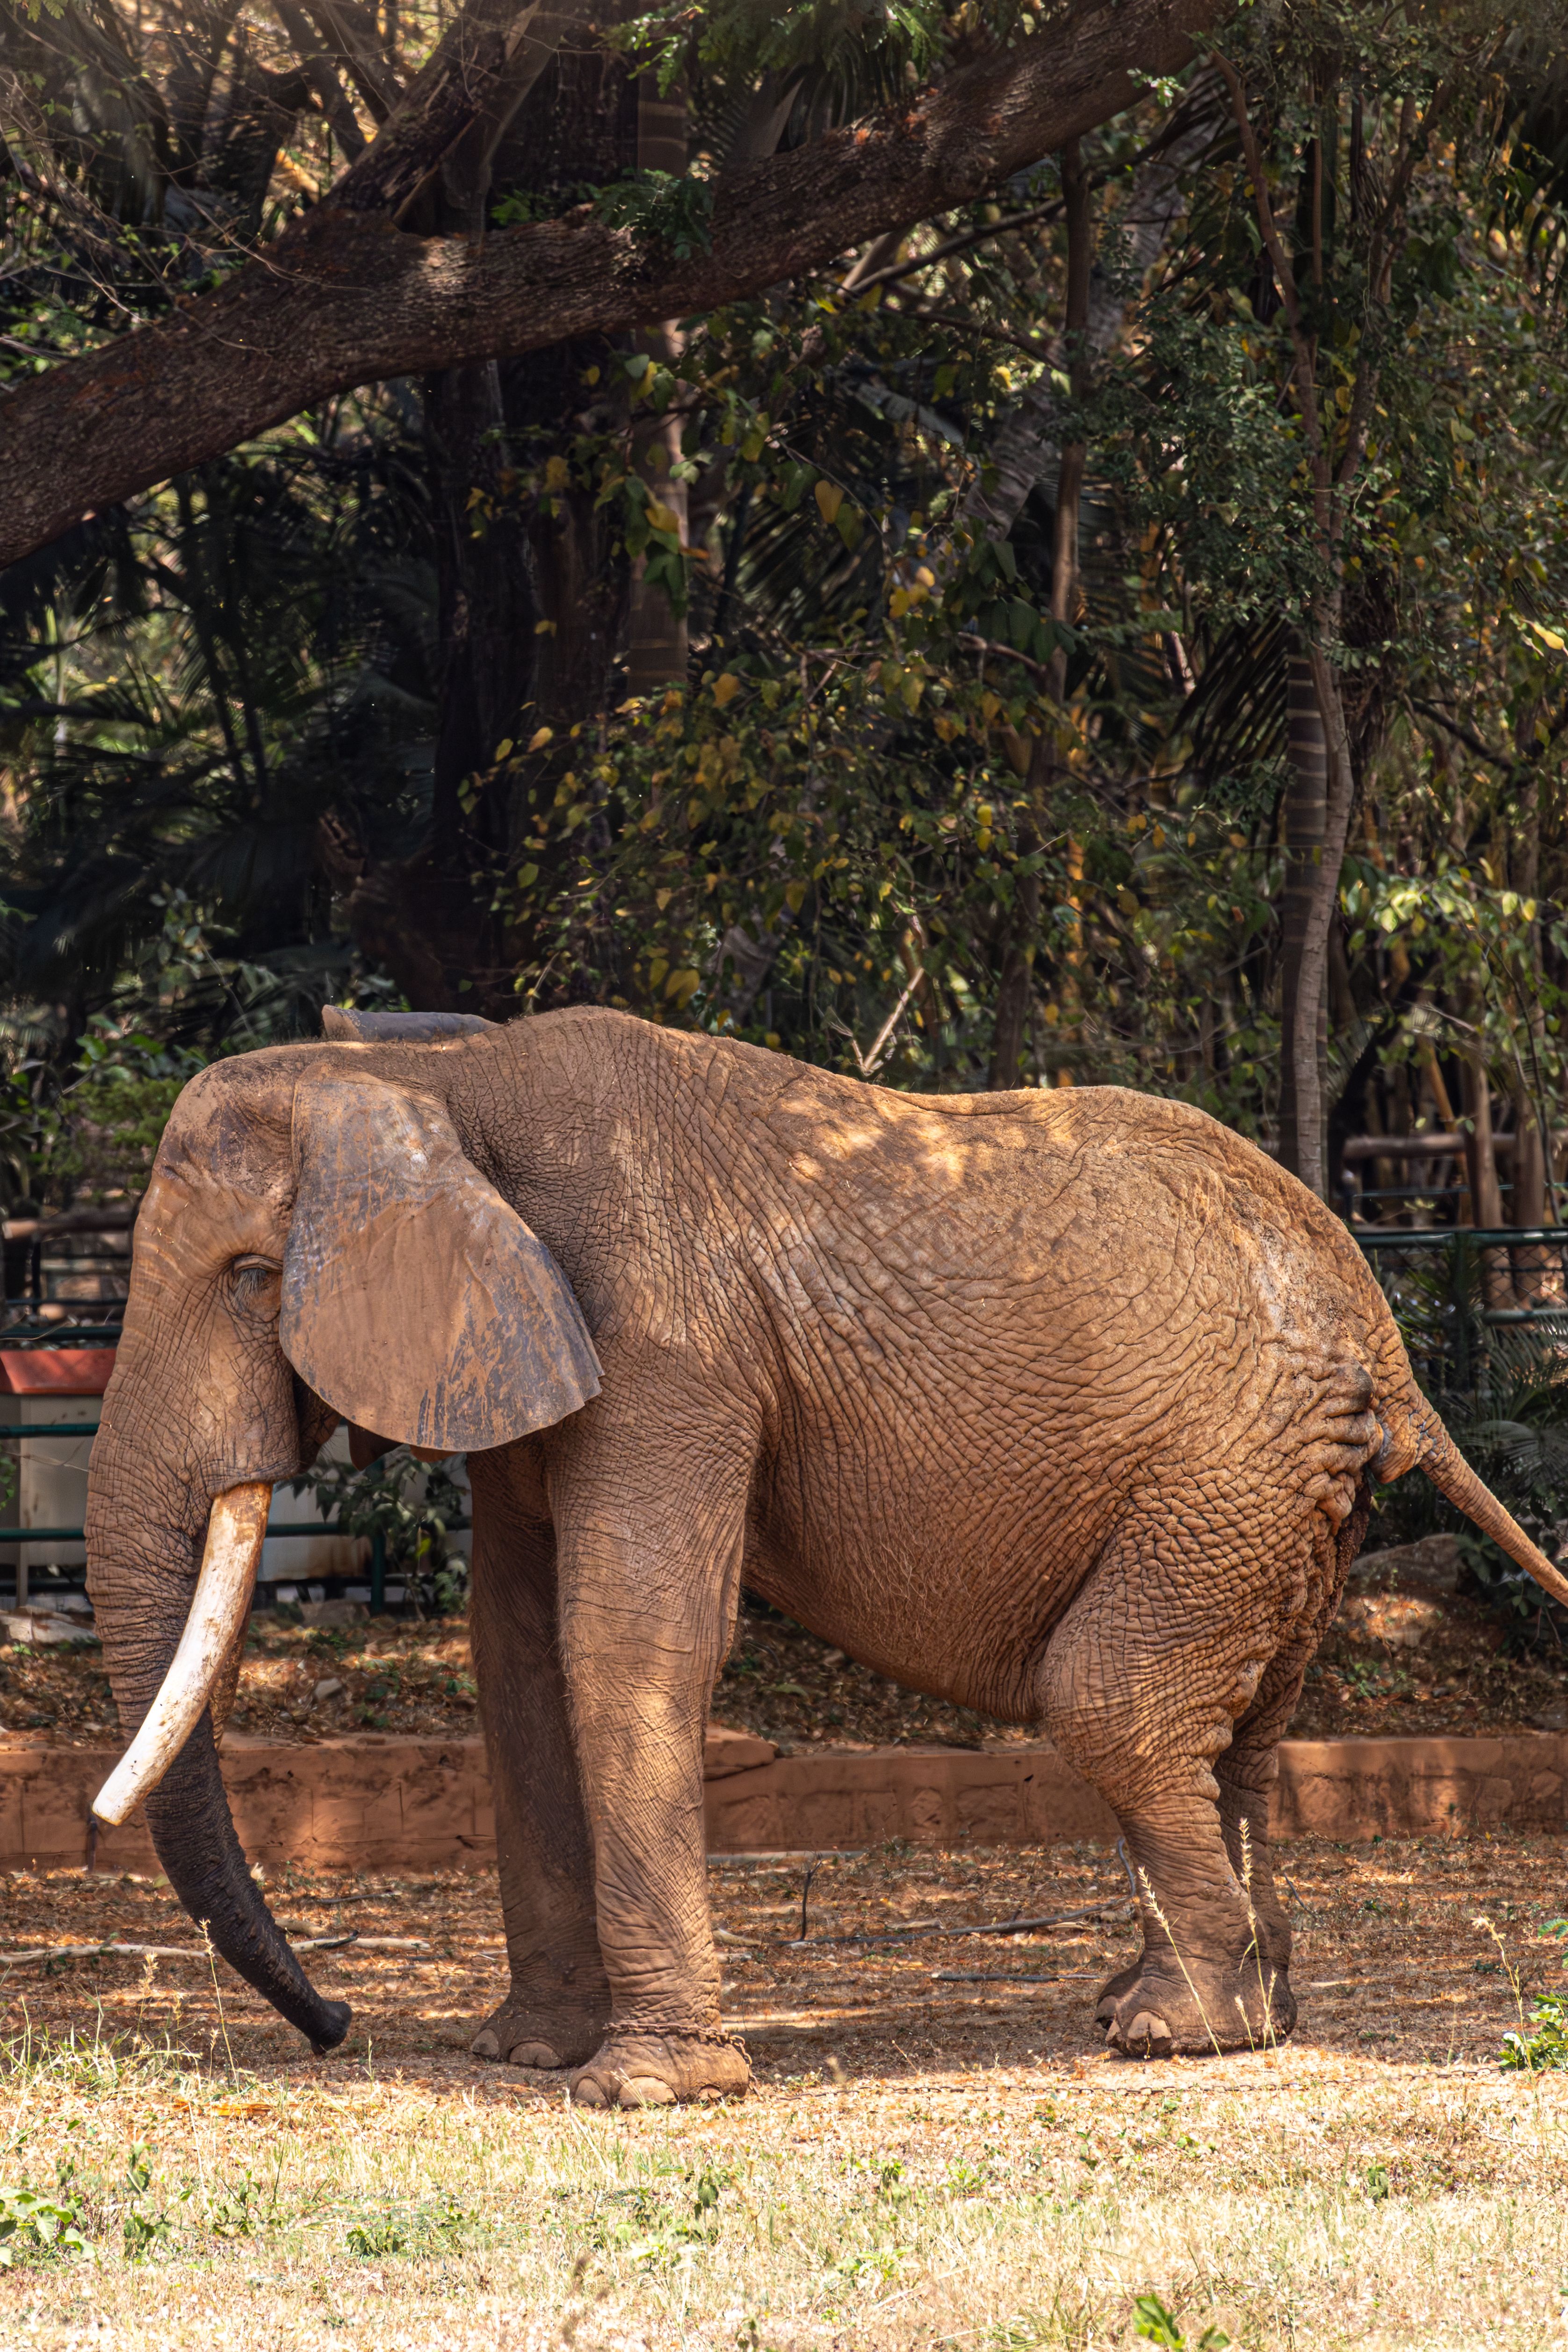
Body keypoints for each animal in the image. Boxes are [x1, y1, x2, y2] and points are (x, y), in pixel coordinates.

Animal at [84, 1004, 1568, 2100]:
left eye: (247, 1281)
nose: (336, 2020)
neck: (437, 1073)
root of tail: (1377, 1313)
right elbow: (514, 1661)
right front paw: (522, 2053)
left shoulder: (665, 1340)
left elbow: (626, 1639)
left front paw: (643, 2090)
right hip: (1278, 1490)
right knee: (1236, 1733)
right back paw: (1235, 2006)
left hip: (1227, 1468)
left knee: (1111, 1700)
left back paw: (1174, 2029)